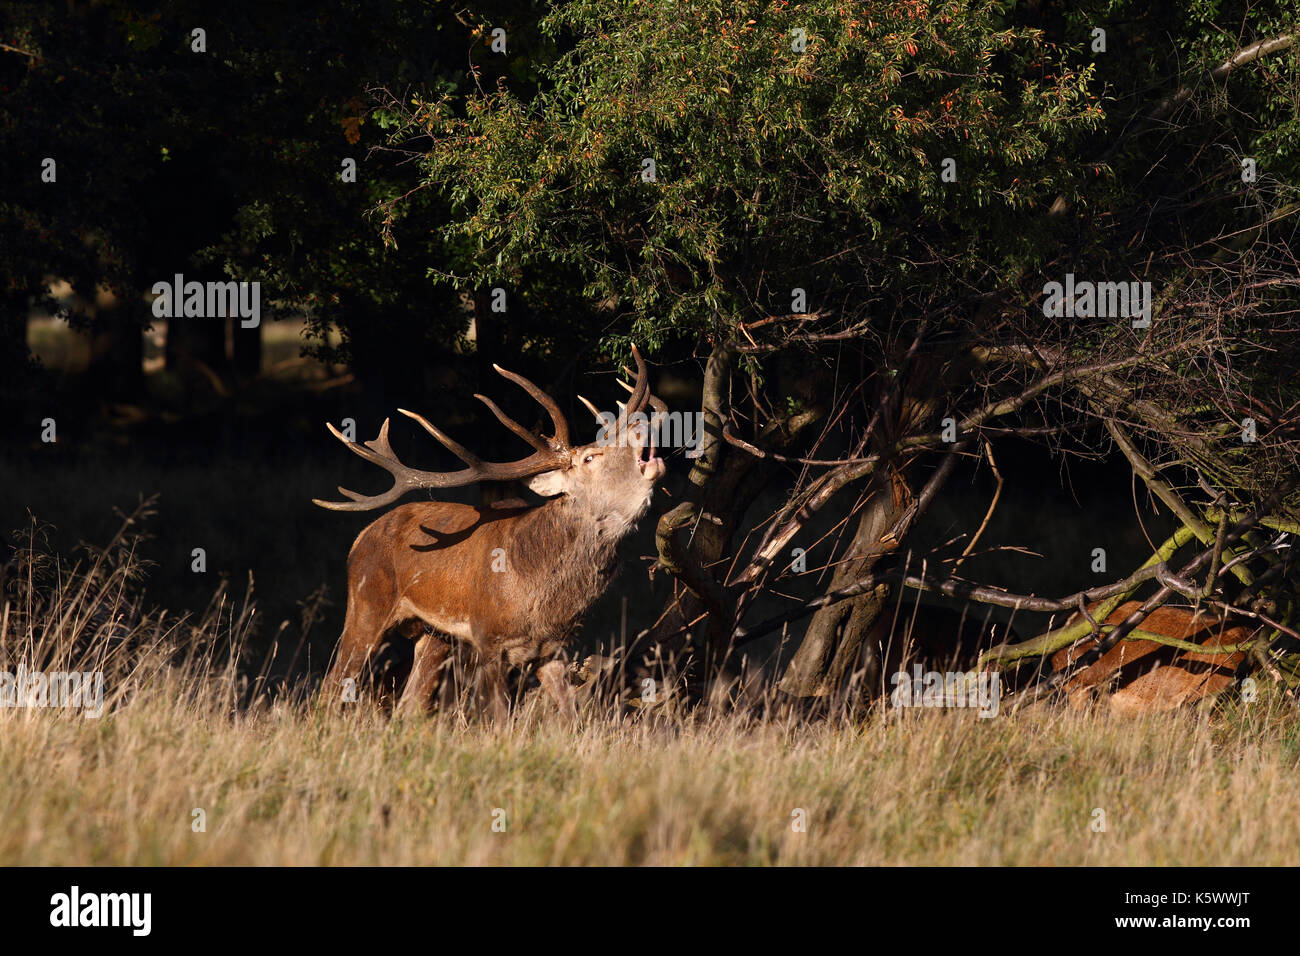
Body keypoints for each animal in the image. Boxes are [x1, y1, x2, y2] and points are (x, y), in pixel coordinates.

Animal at [313, 347, 666, 720]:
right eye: (589, 458)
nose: (641, 429)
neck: (539, 594)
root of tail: (361, 537)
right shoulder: (488, 639)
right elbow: (497, 719)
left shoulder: (551, 648)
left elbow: (571, 714)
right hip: (366, 603)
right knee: (332, 684)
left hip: (436, 634)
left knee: (411, 702)